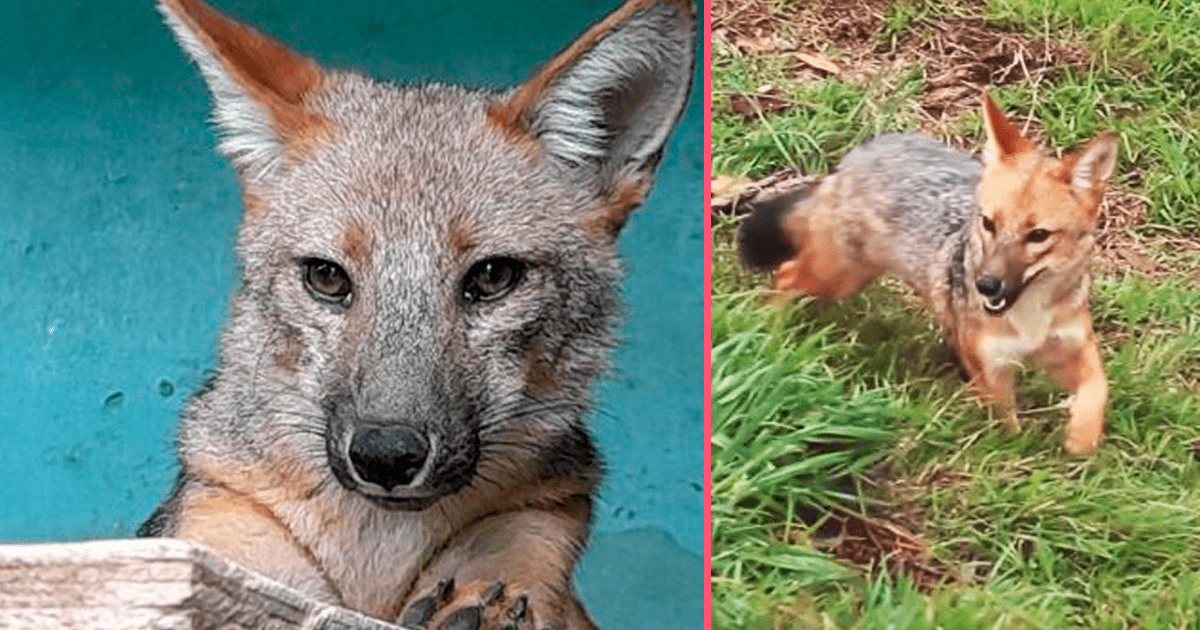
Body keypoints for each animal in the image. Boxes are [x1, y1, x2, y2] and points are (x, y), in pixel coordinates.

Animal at [134, 0, 695, 628]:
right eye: (326, 277)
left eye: (492, 277)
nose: (385, 455)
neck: (376, 567)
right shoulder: (221, 528)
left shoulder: (541, 515)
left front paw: (480, 600)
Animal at [737, 92, 1117, 456]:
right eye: (988, 223)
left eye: (1038, 235)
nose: (985, 285)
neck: (1030, 320)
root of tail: (860, 152)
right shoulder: (989, 368)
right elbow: (1008, 426)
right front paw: (1020, 452)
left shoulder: (1074, 346)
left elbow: (1099, 389)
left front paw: (1081, 441)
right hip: (837, 276)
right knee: (785, 274)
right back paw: (771, 332)